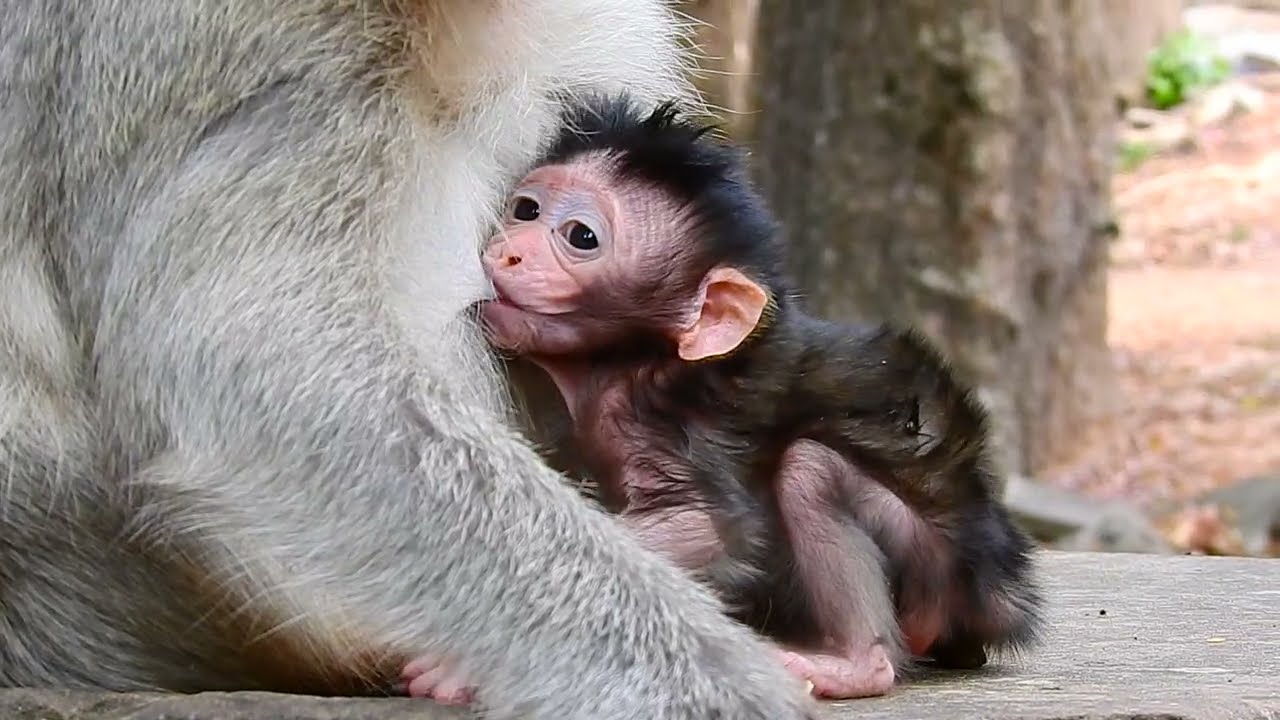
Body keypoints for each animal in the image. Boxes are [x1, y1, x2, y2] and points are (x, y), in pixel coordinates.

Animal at [466, 94, 1045, 700]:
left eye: (581, 237)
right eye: (525, 210)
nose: (509, 252)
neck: (629, 360)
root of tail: (1001, 590)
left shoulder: (656, 420)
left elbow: (706, 528)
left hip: (936, 571)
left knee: (810, 469)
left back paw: (857, 664)